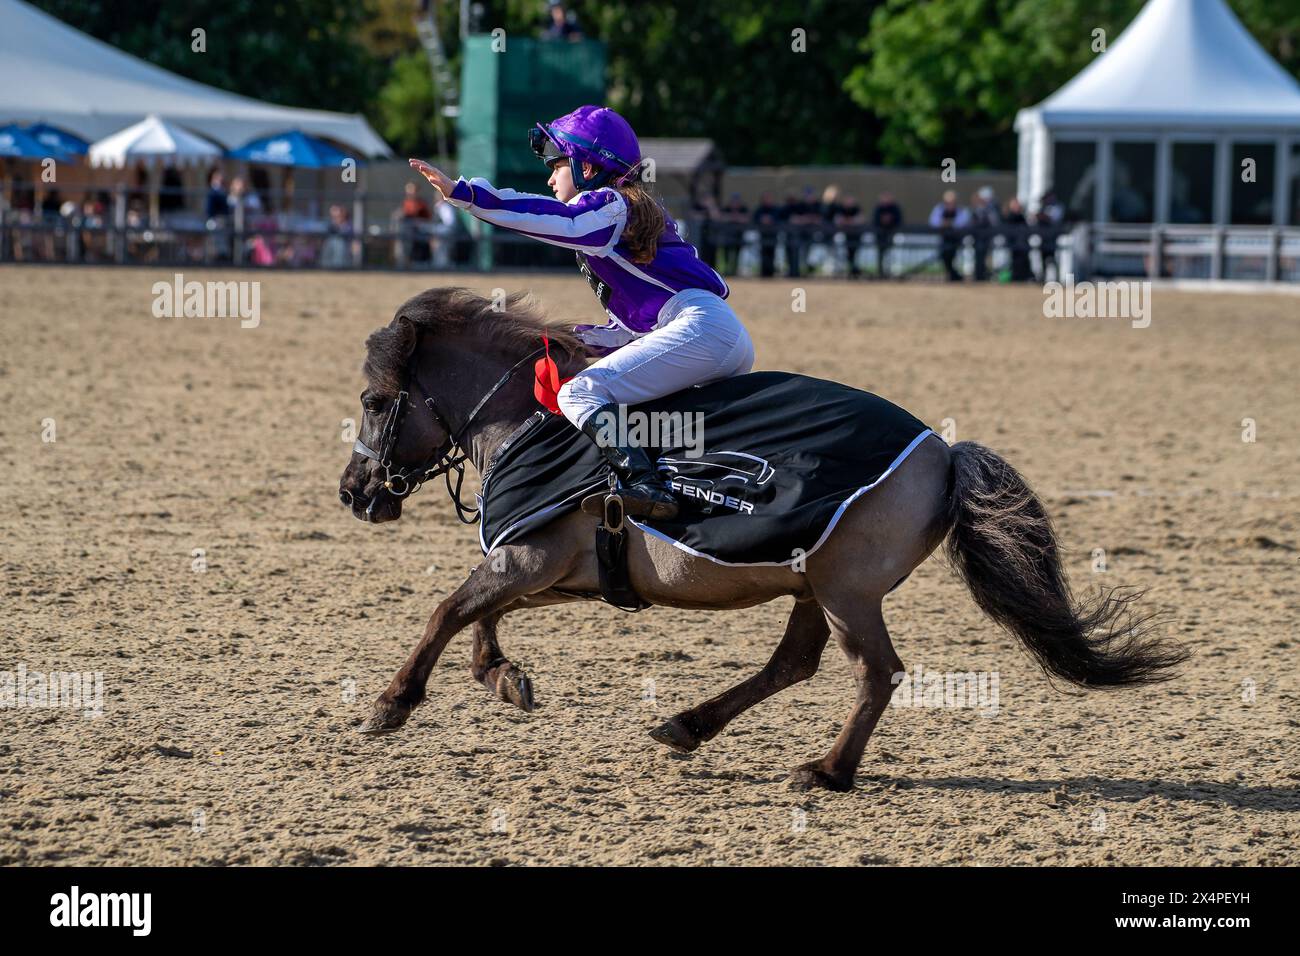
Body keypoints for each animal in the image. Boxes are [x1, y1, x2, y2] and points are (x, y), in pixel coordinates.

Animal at [337, 287, 1188, 792]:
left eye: (375, 402)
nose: (353, 492)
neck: (529, 418)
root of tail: (943, 453)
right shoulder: (553, 570)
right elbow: (481, 614)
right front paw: (503, 677)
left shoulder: (531, 554)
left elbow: (448, 610)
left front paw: (391, 703)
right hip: (813, 584)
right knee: (794, 665)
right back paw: (689, 725)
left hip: (847, 592)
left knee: (875, 673)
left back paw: (828, 770)